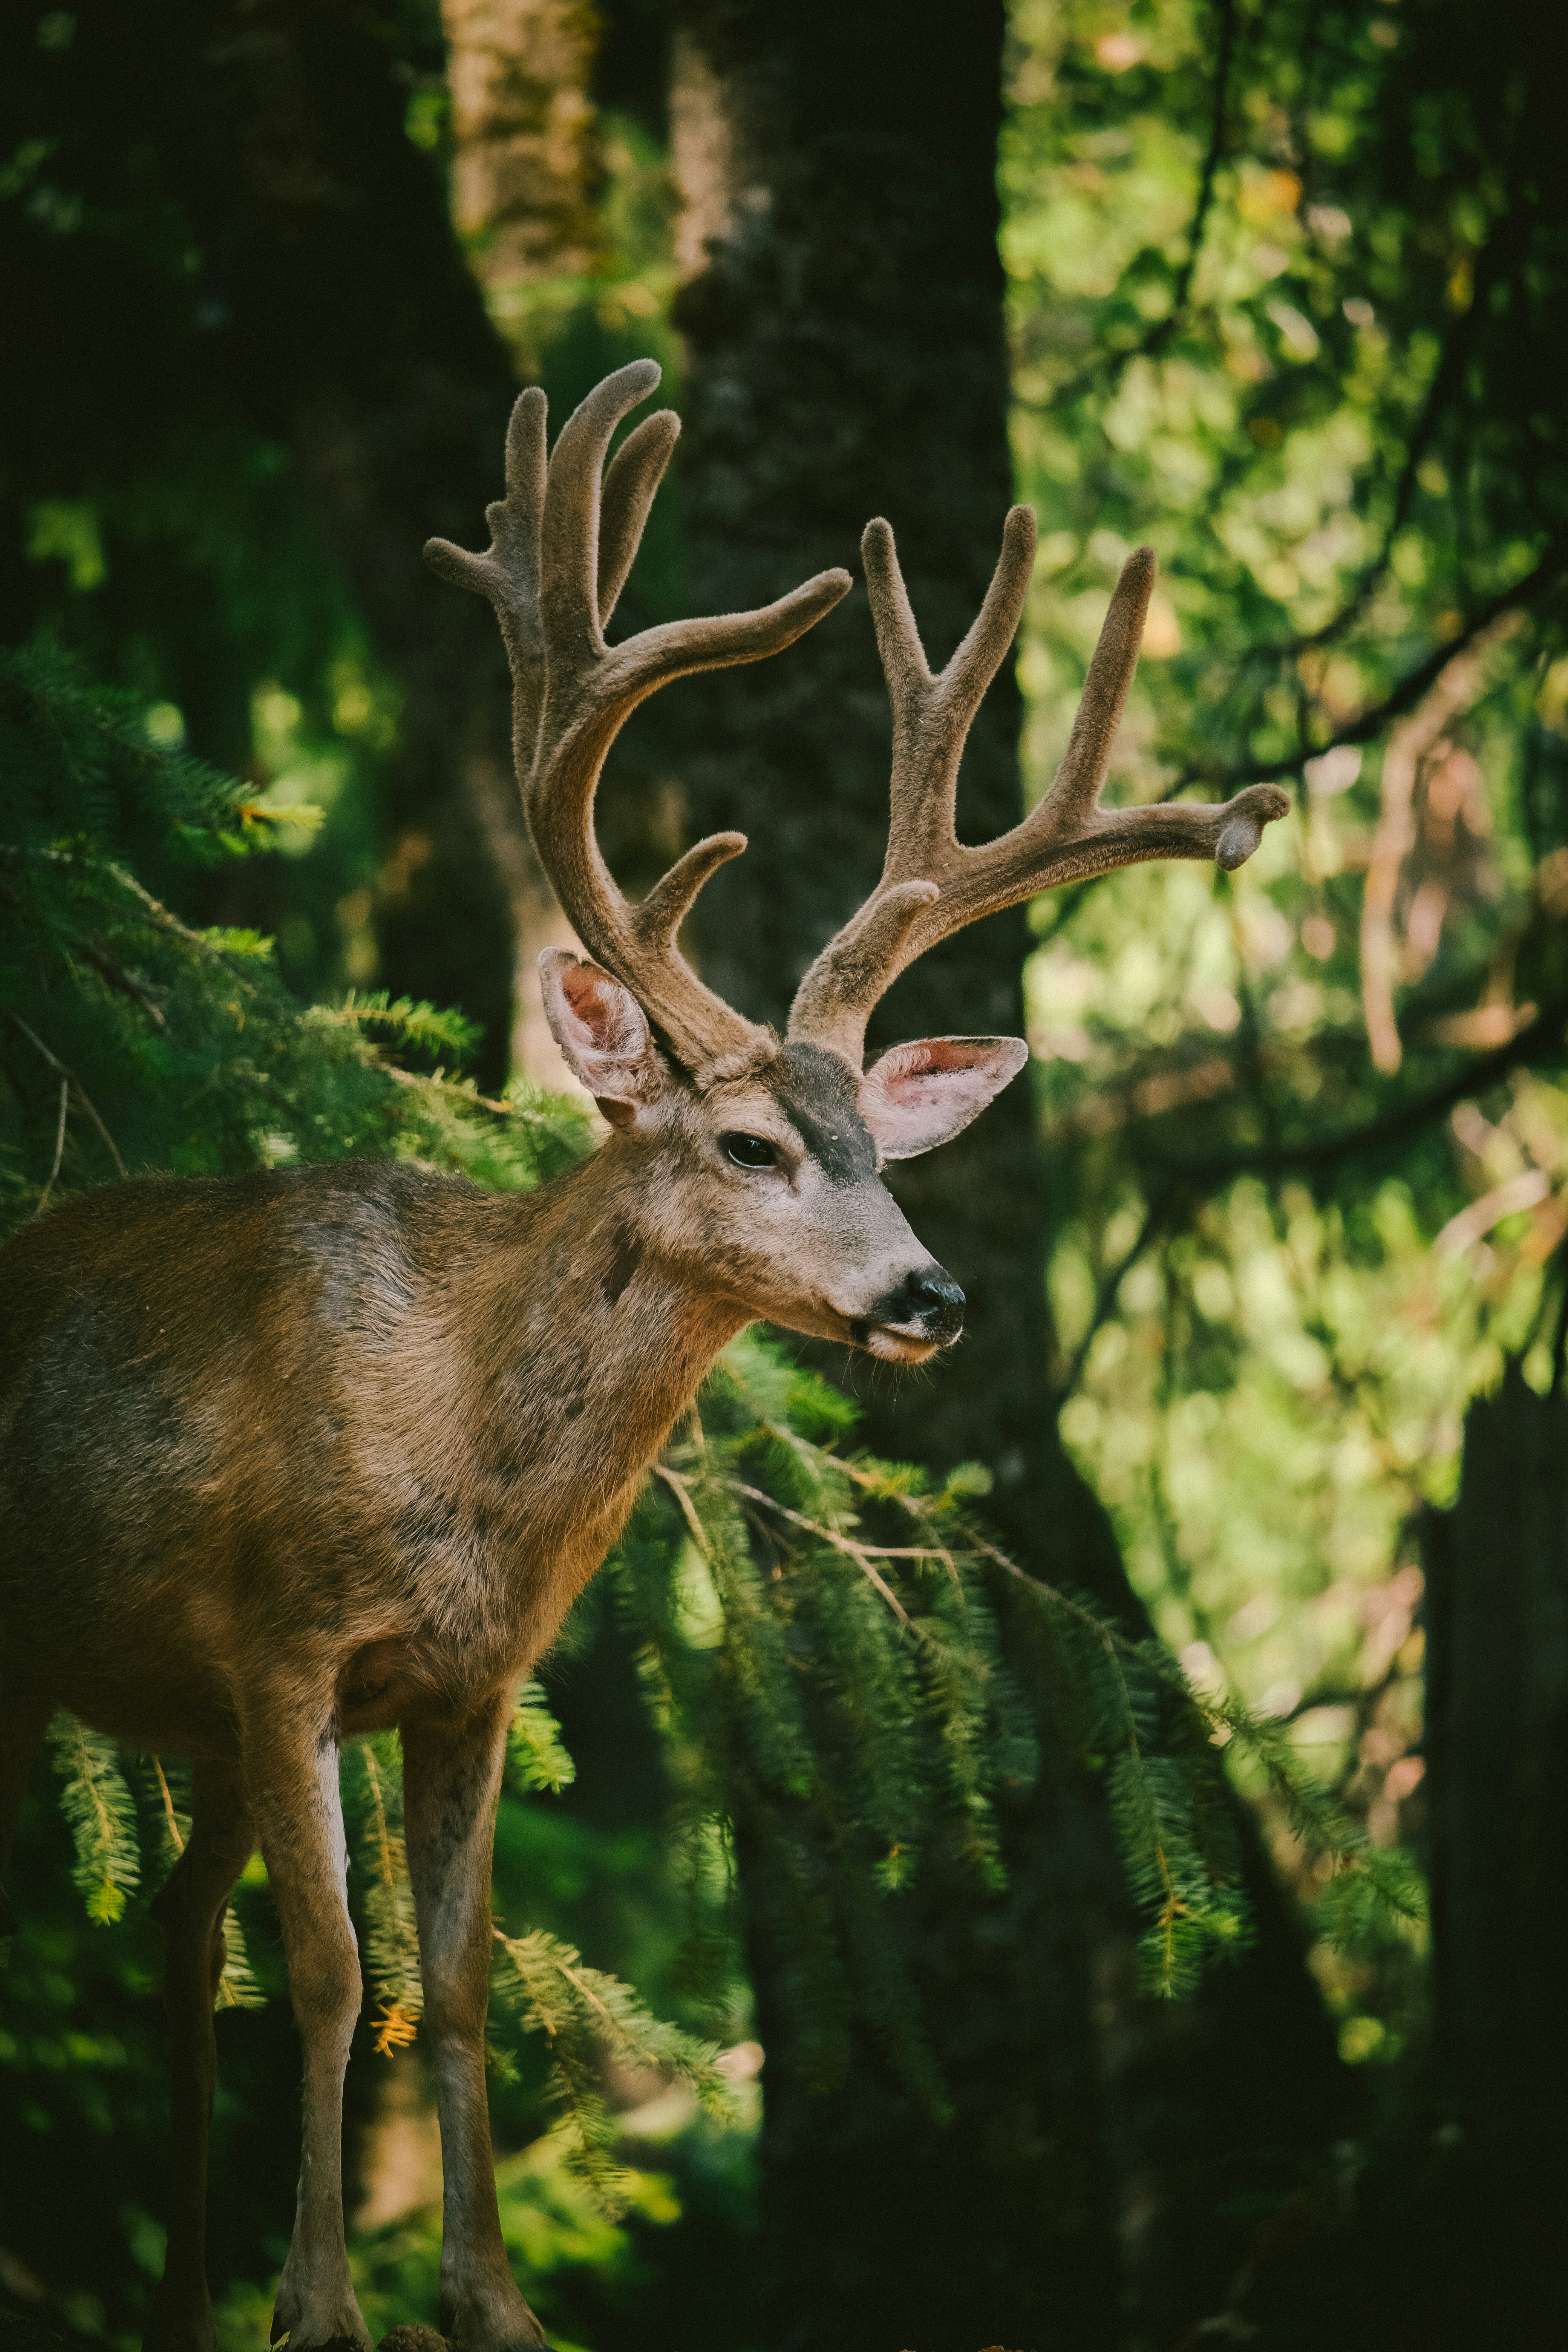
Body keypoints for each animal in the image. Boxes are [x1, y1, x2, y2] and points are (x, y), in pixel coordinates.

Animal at [0, 359, 1287, 2352]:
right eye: (750, 1143)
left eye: (880, 1147)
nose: (930, 1295)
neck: (452, 1450)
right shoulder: (280, 1641)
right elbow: (332, 1966)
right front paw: (324, 2307)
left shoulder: (467, 1683)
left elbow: (447, 1982)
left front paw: (491, 2304)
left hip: (174, 1718)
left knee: (171, 1938)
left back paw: (179, 2296)